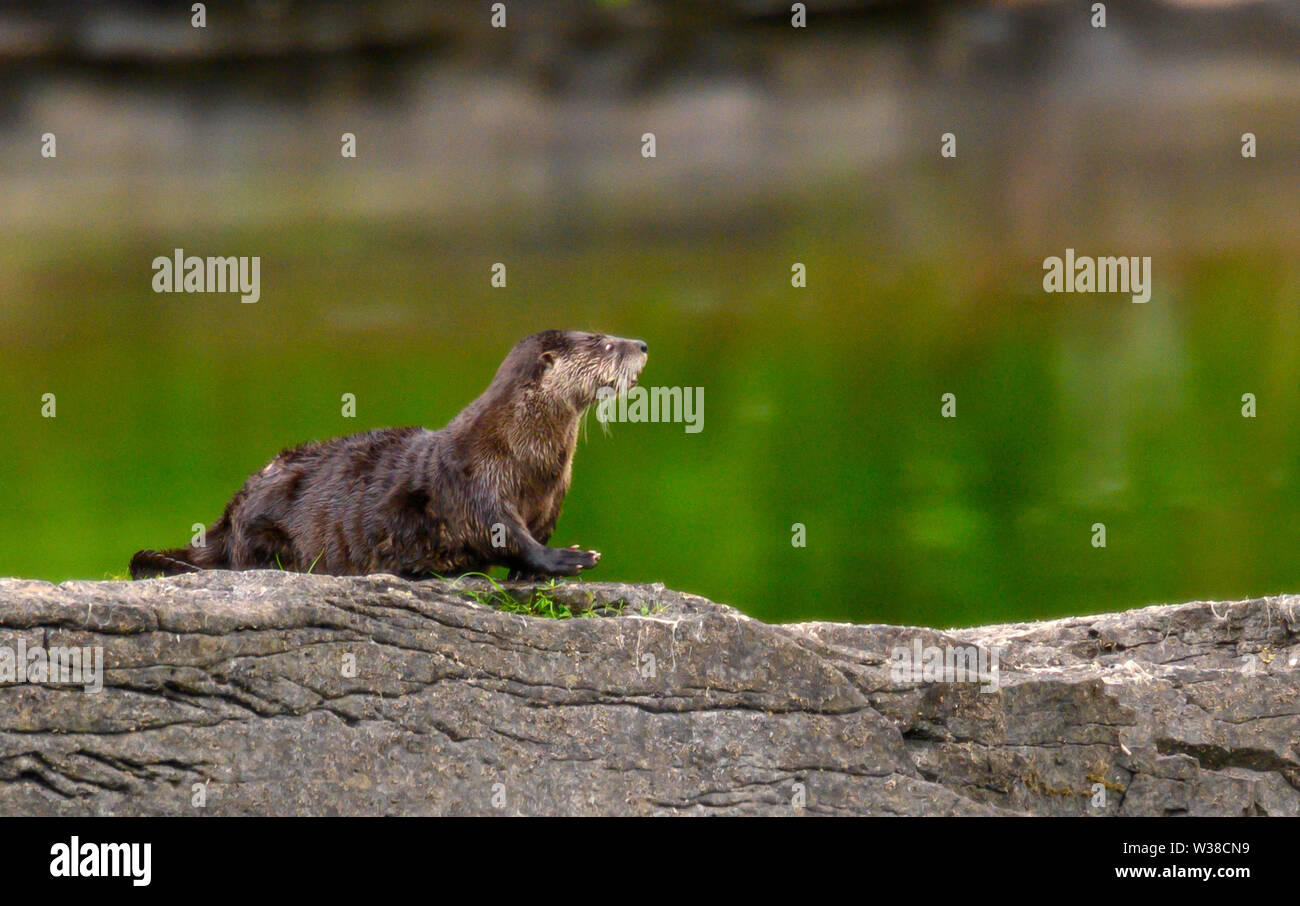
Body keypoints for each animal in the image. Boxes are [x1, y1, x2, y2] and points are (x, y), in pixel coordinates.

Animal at [129, 330, 647, 581]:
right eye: (605, 343)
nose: (642, 345)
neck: (528, 459)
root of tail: (229, 512)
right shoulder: (474, 483)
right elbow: (502, 534)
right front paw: (568, 559)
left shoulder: (548, 502)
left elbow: (528, 539)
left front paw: (530, 572)